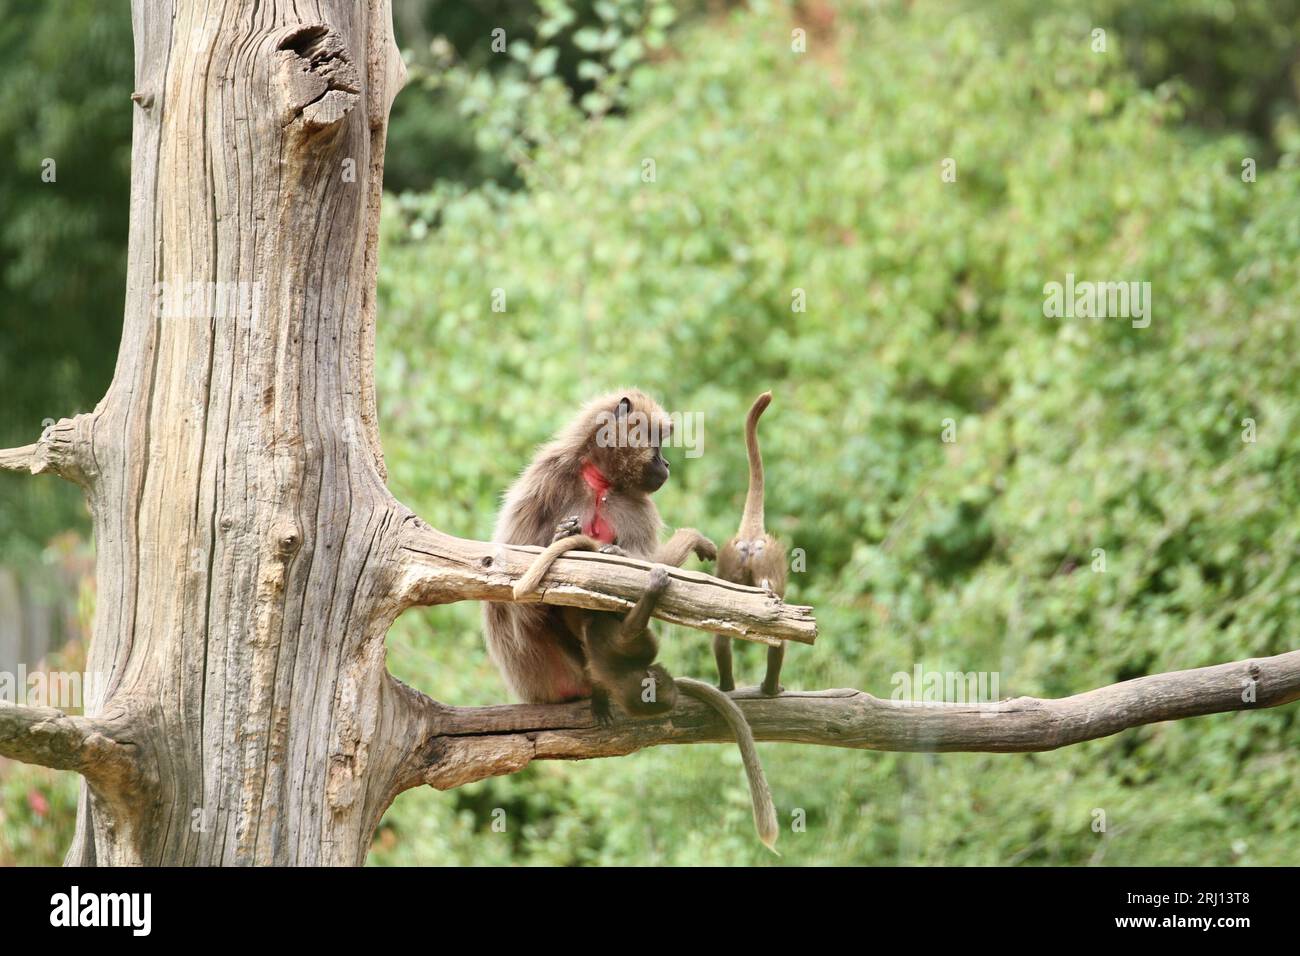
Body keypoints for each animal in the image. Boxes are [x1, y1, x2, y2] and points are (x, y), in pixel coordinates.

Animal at [713, 391, 790, 697]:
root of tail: (750, 536)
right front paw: (771, 687)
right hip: (767, 562)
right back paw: (768, 688)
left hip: (731, 564)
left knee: (721, 640)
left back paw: (726, 686)